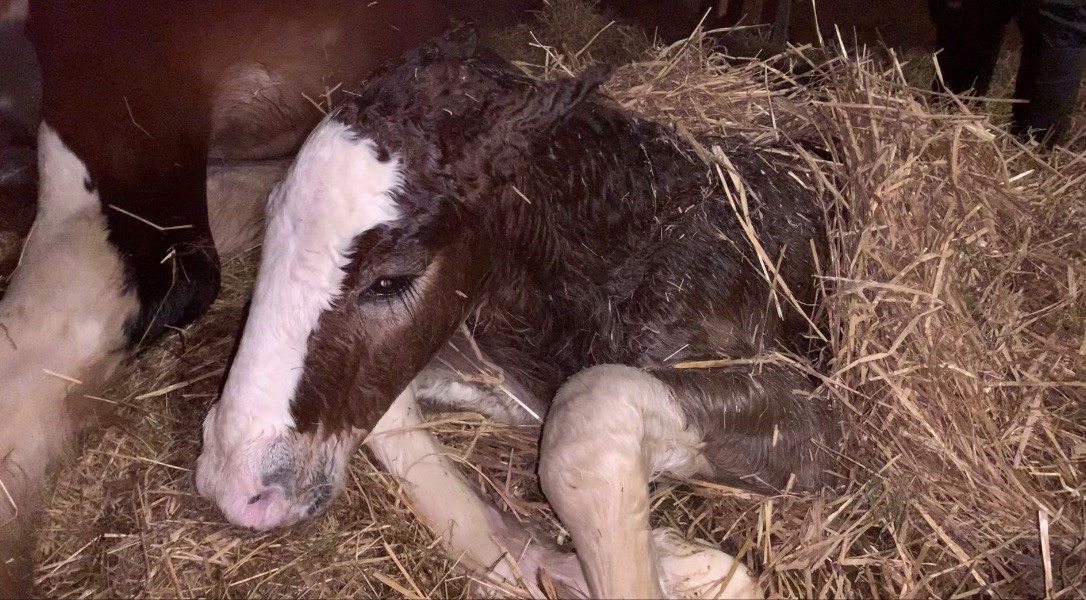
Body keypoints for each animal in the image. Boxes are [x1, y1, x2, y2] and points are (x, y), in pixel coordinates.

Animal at [195, 25, 838, 599]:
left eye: (390, 280)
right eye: (270, 229)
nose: (235, 484)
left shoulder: (809, 431)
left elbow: (590, 413)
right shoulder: (499, 376)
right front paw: (655, 563)